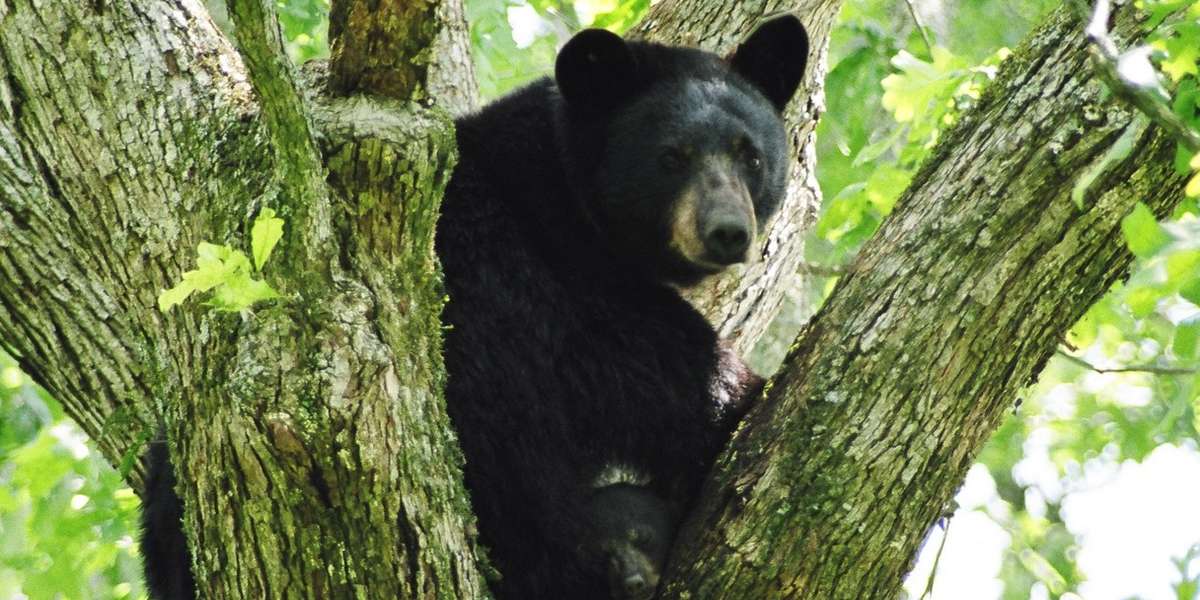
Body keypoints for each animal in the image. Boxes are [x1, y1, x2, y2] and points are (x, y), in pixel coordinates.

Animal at [139, 15, 806, 600]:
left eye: (750, 155)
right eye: (672, 156)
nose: (728, 232)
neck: (562, 198)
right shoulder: (555, 284)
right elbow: (661, 374)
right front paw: (736, 396)